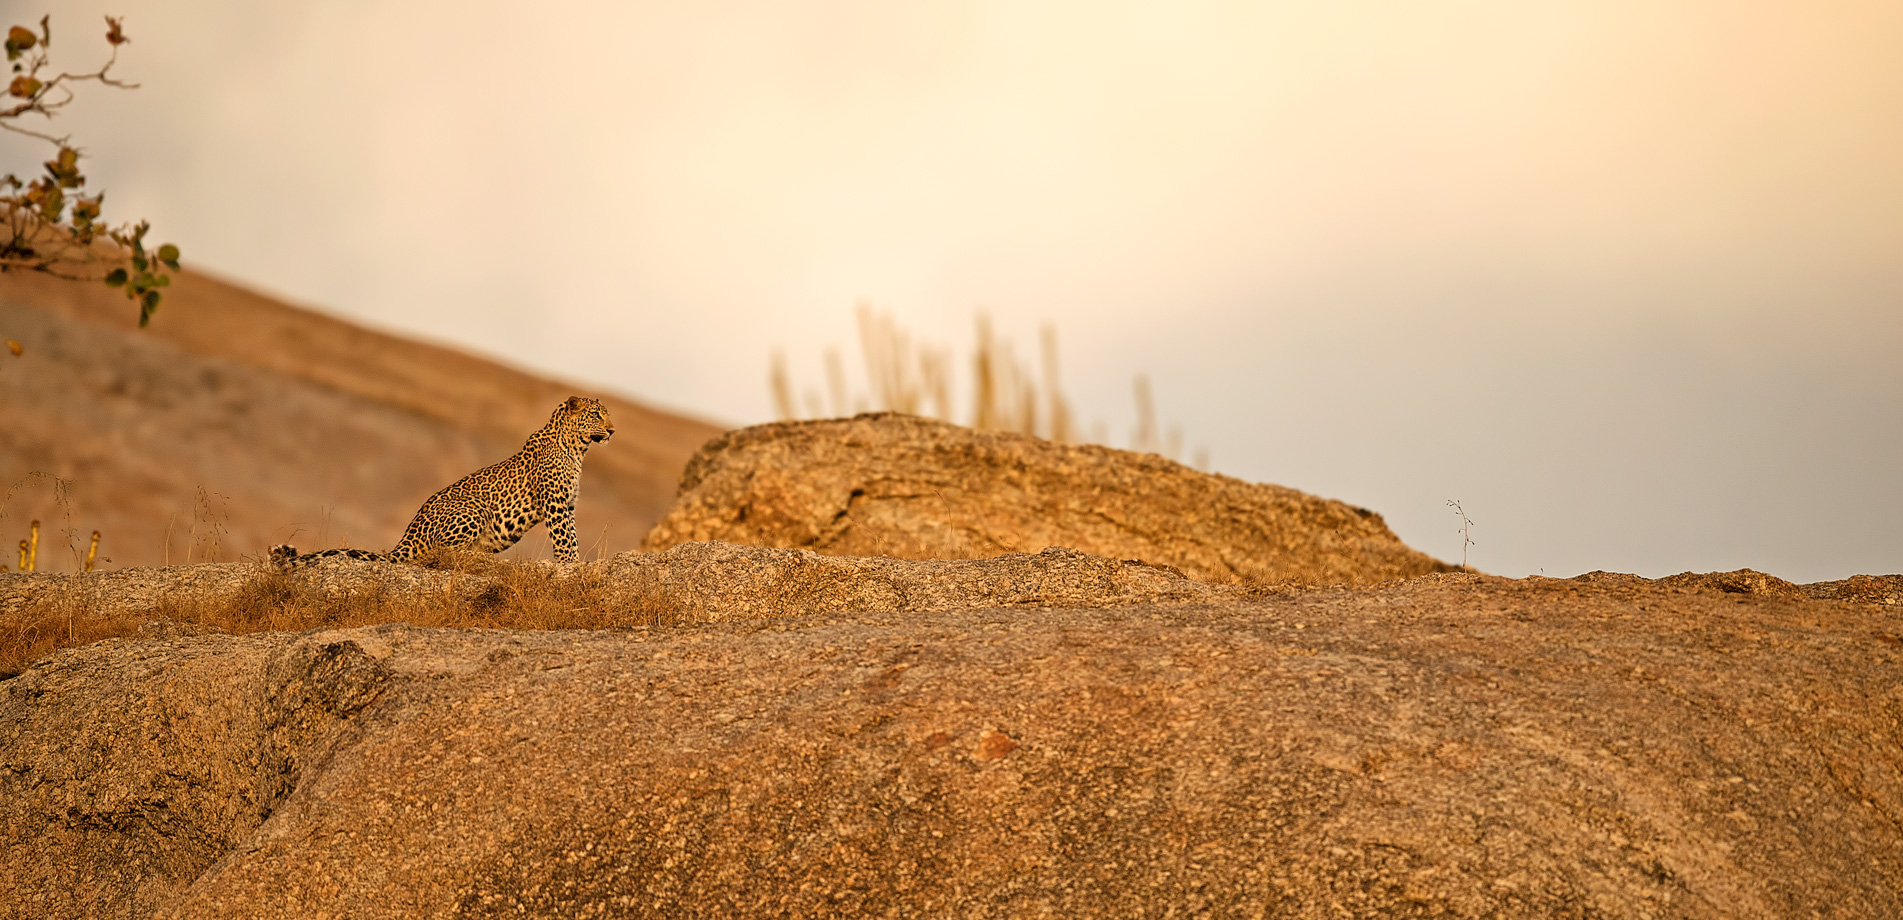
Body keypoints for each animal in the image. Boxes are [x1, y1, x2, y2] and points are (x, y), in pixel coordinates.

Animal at [270, 396, 615, 567]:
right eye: (597, 414)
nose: (612, 431)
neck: (578, 448)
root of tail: (407, 537)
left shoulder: (568, 505)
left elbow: (572, 536)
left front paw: (576, 562)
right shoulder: (556, 504)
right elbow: (564, 540)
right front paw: (570, 565)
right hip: (473, 508)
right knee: (441, 554)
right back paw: (481, 557)